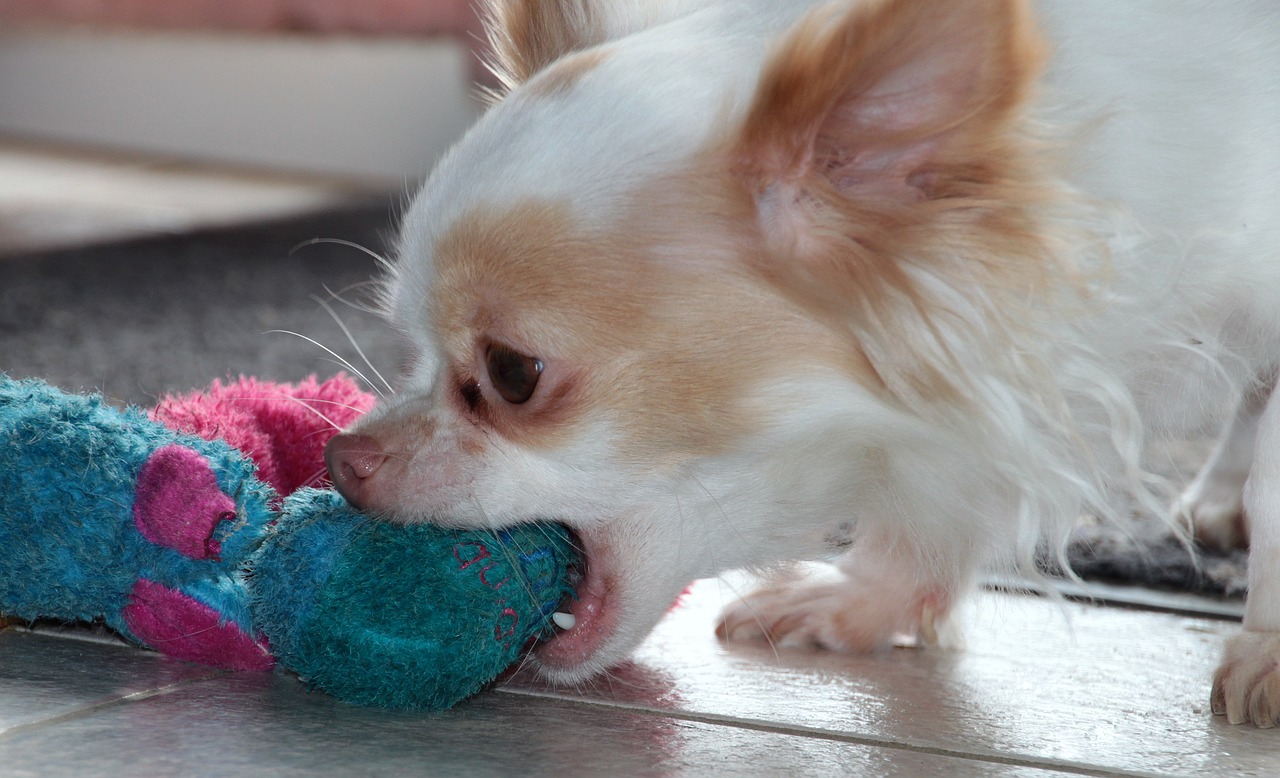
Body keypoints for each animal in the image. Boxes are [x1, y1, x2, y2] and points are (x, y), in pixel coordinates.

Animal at [327, 1, 1280, 726]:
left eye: (512, 375)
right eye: (408, 350)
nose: (342, 456)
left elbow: (1278, 482)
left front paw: (1269, 649)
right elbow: (942, 493)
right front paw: (871, 598)